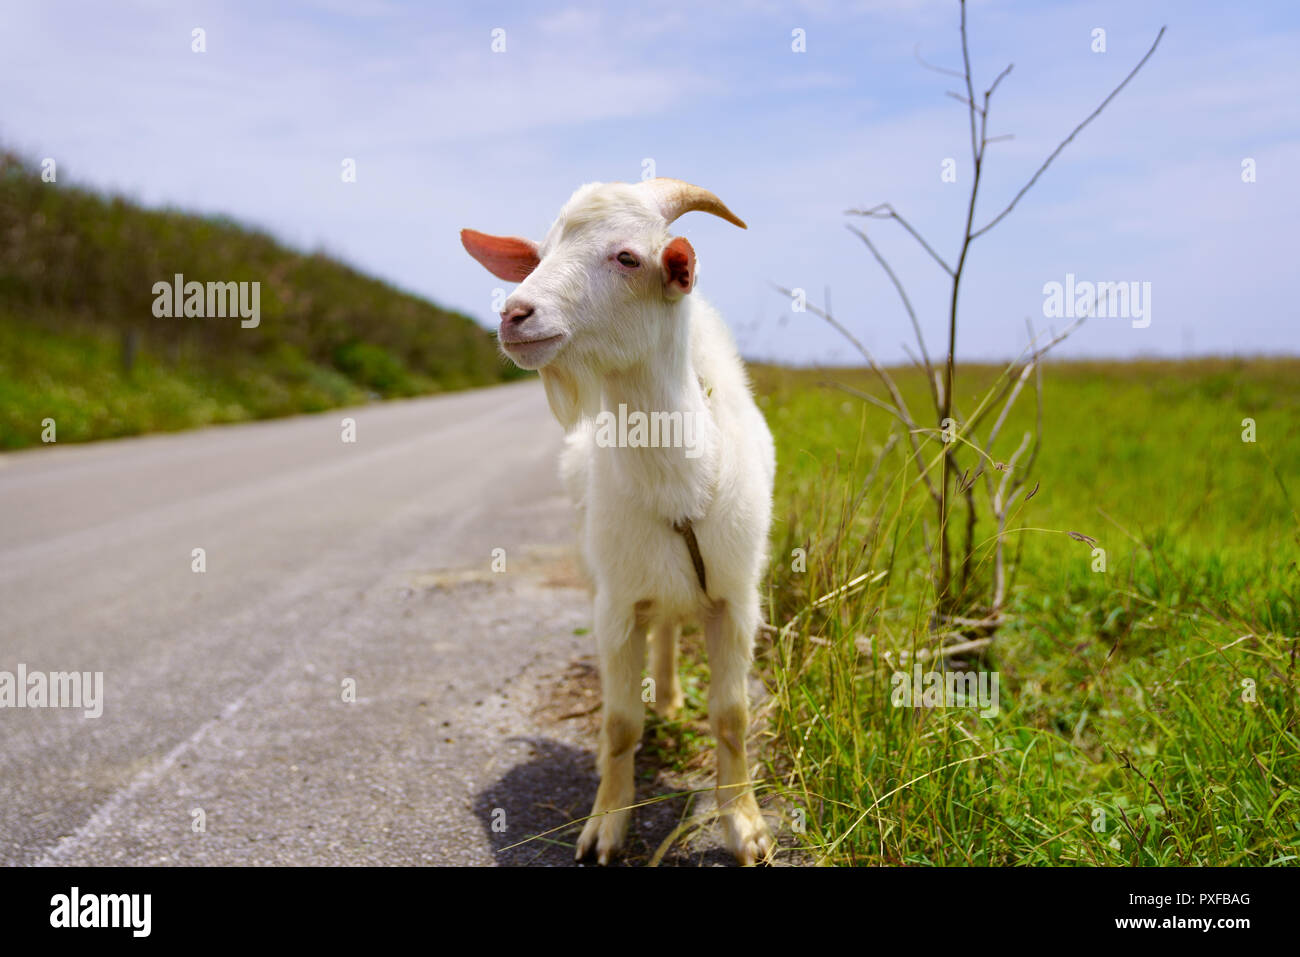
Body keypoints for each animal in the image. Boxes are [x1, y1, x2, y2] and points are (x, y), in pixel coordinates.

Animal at [461, 178, 775, 865]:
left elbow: (732, 716)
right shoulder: (617, 603)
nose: (513, 314)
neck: (681, 479)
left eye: (628, 257)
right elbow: (620, 722)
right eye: (539, 254)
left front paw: (745, 826)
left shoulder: (735, 598)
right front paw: (606, 825)